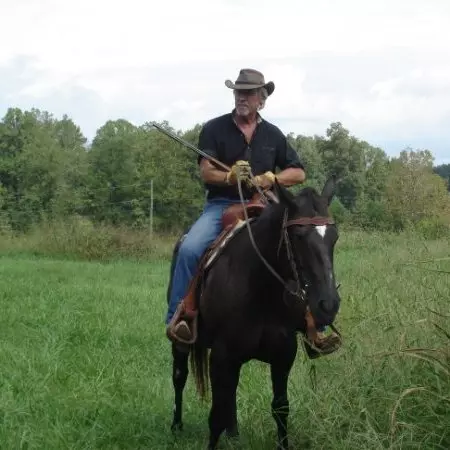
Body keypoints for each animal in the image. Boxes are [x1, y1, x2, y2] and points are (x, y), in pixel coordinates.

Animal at [166, 178, 342, 450]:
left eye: (334, 237)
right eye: (298, 236)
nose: (328, 305)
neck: (259, 286)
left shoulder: (284, 354)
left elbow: (280, 408)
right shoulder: (221, 355)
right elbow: (215, 415)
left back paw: (233, 433)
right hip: (183, 341)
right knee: (179, 375)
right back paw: (176, 426)